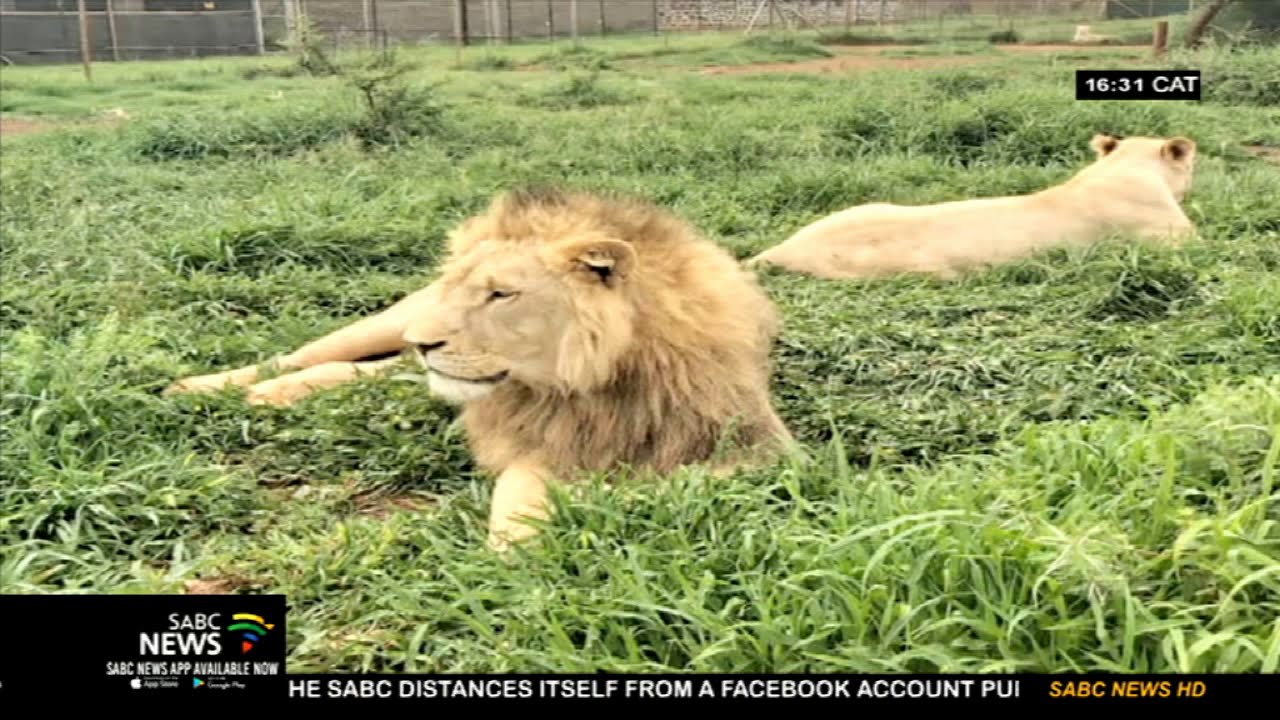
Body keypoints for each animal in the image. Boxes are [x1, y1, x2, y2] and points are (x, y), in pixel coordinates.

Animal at [166, 188, 795, 551]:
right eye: (465, 287)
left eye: (501, 294)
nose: (426, 342)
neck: (602, 379)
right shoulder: (532, 436)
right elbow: (519, 488)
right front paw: (514, 553)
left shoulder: (758, 447)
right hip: (388, 323)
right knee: (305, 355)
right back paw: (201, 387)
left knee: (357, 372)